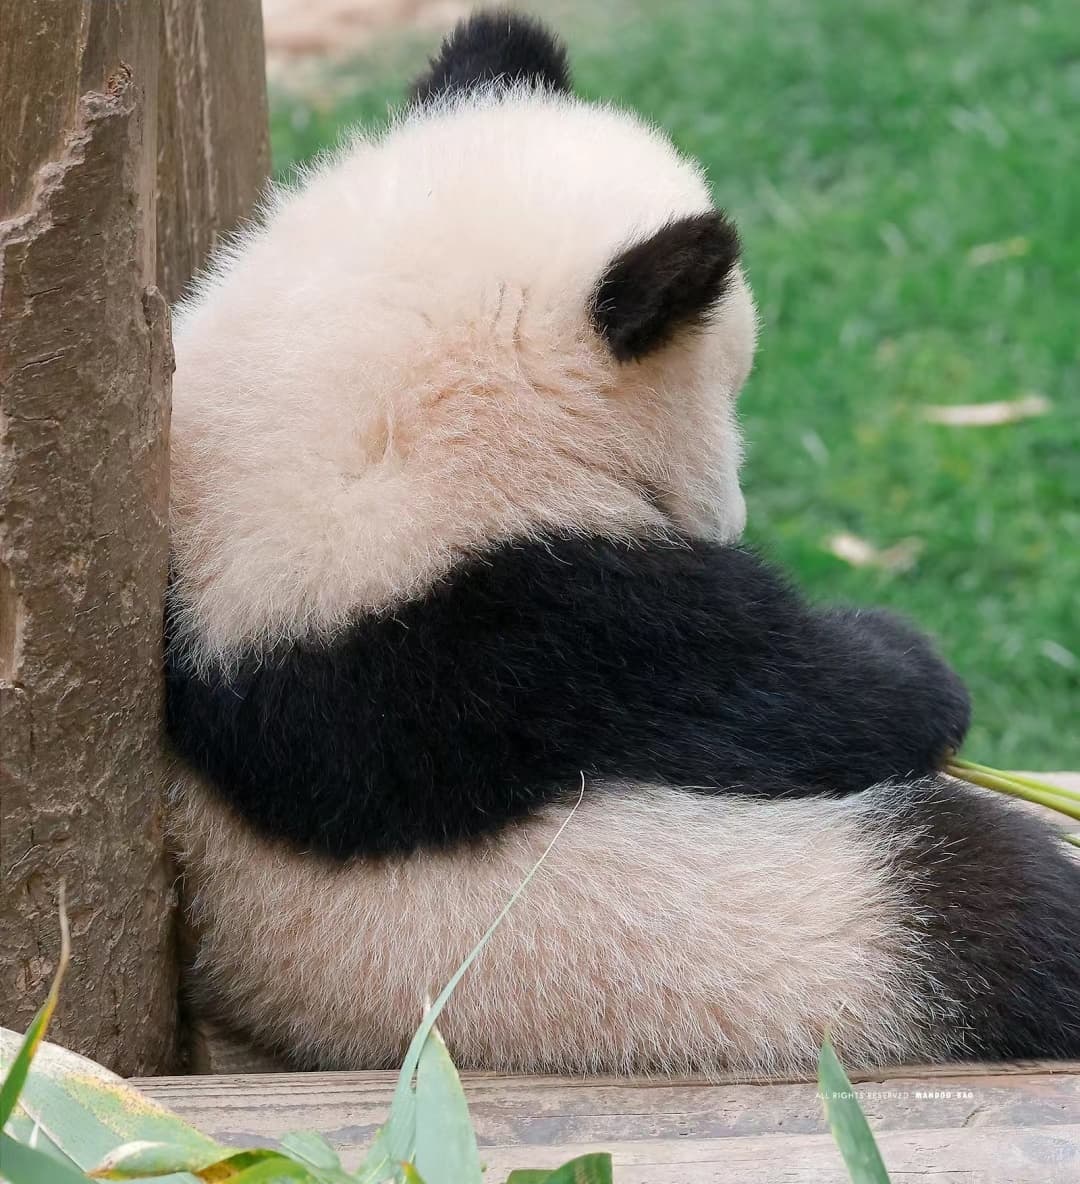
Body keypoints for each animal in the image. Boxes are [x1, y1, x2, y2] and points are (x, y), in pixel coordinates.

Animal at [165, 11, 1080, 1074]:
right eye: (730, 387)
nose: (730, 521)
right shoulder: (477, 630)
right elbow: (766, 692)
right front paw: (916, 672)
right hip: (699, 940)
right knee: (985, 904)